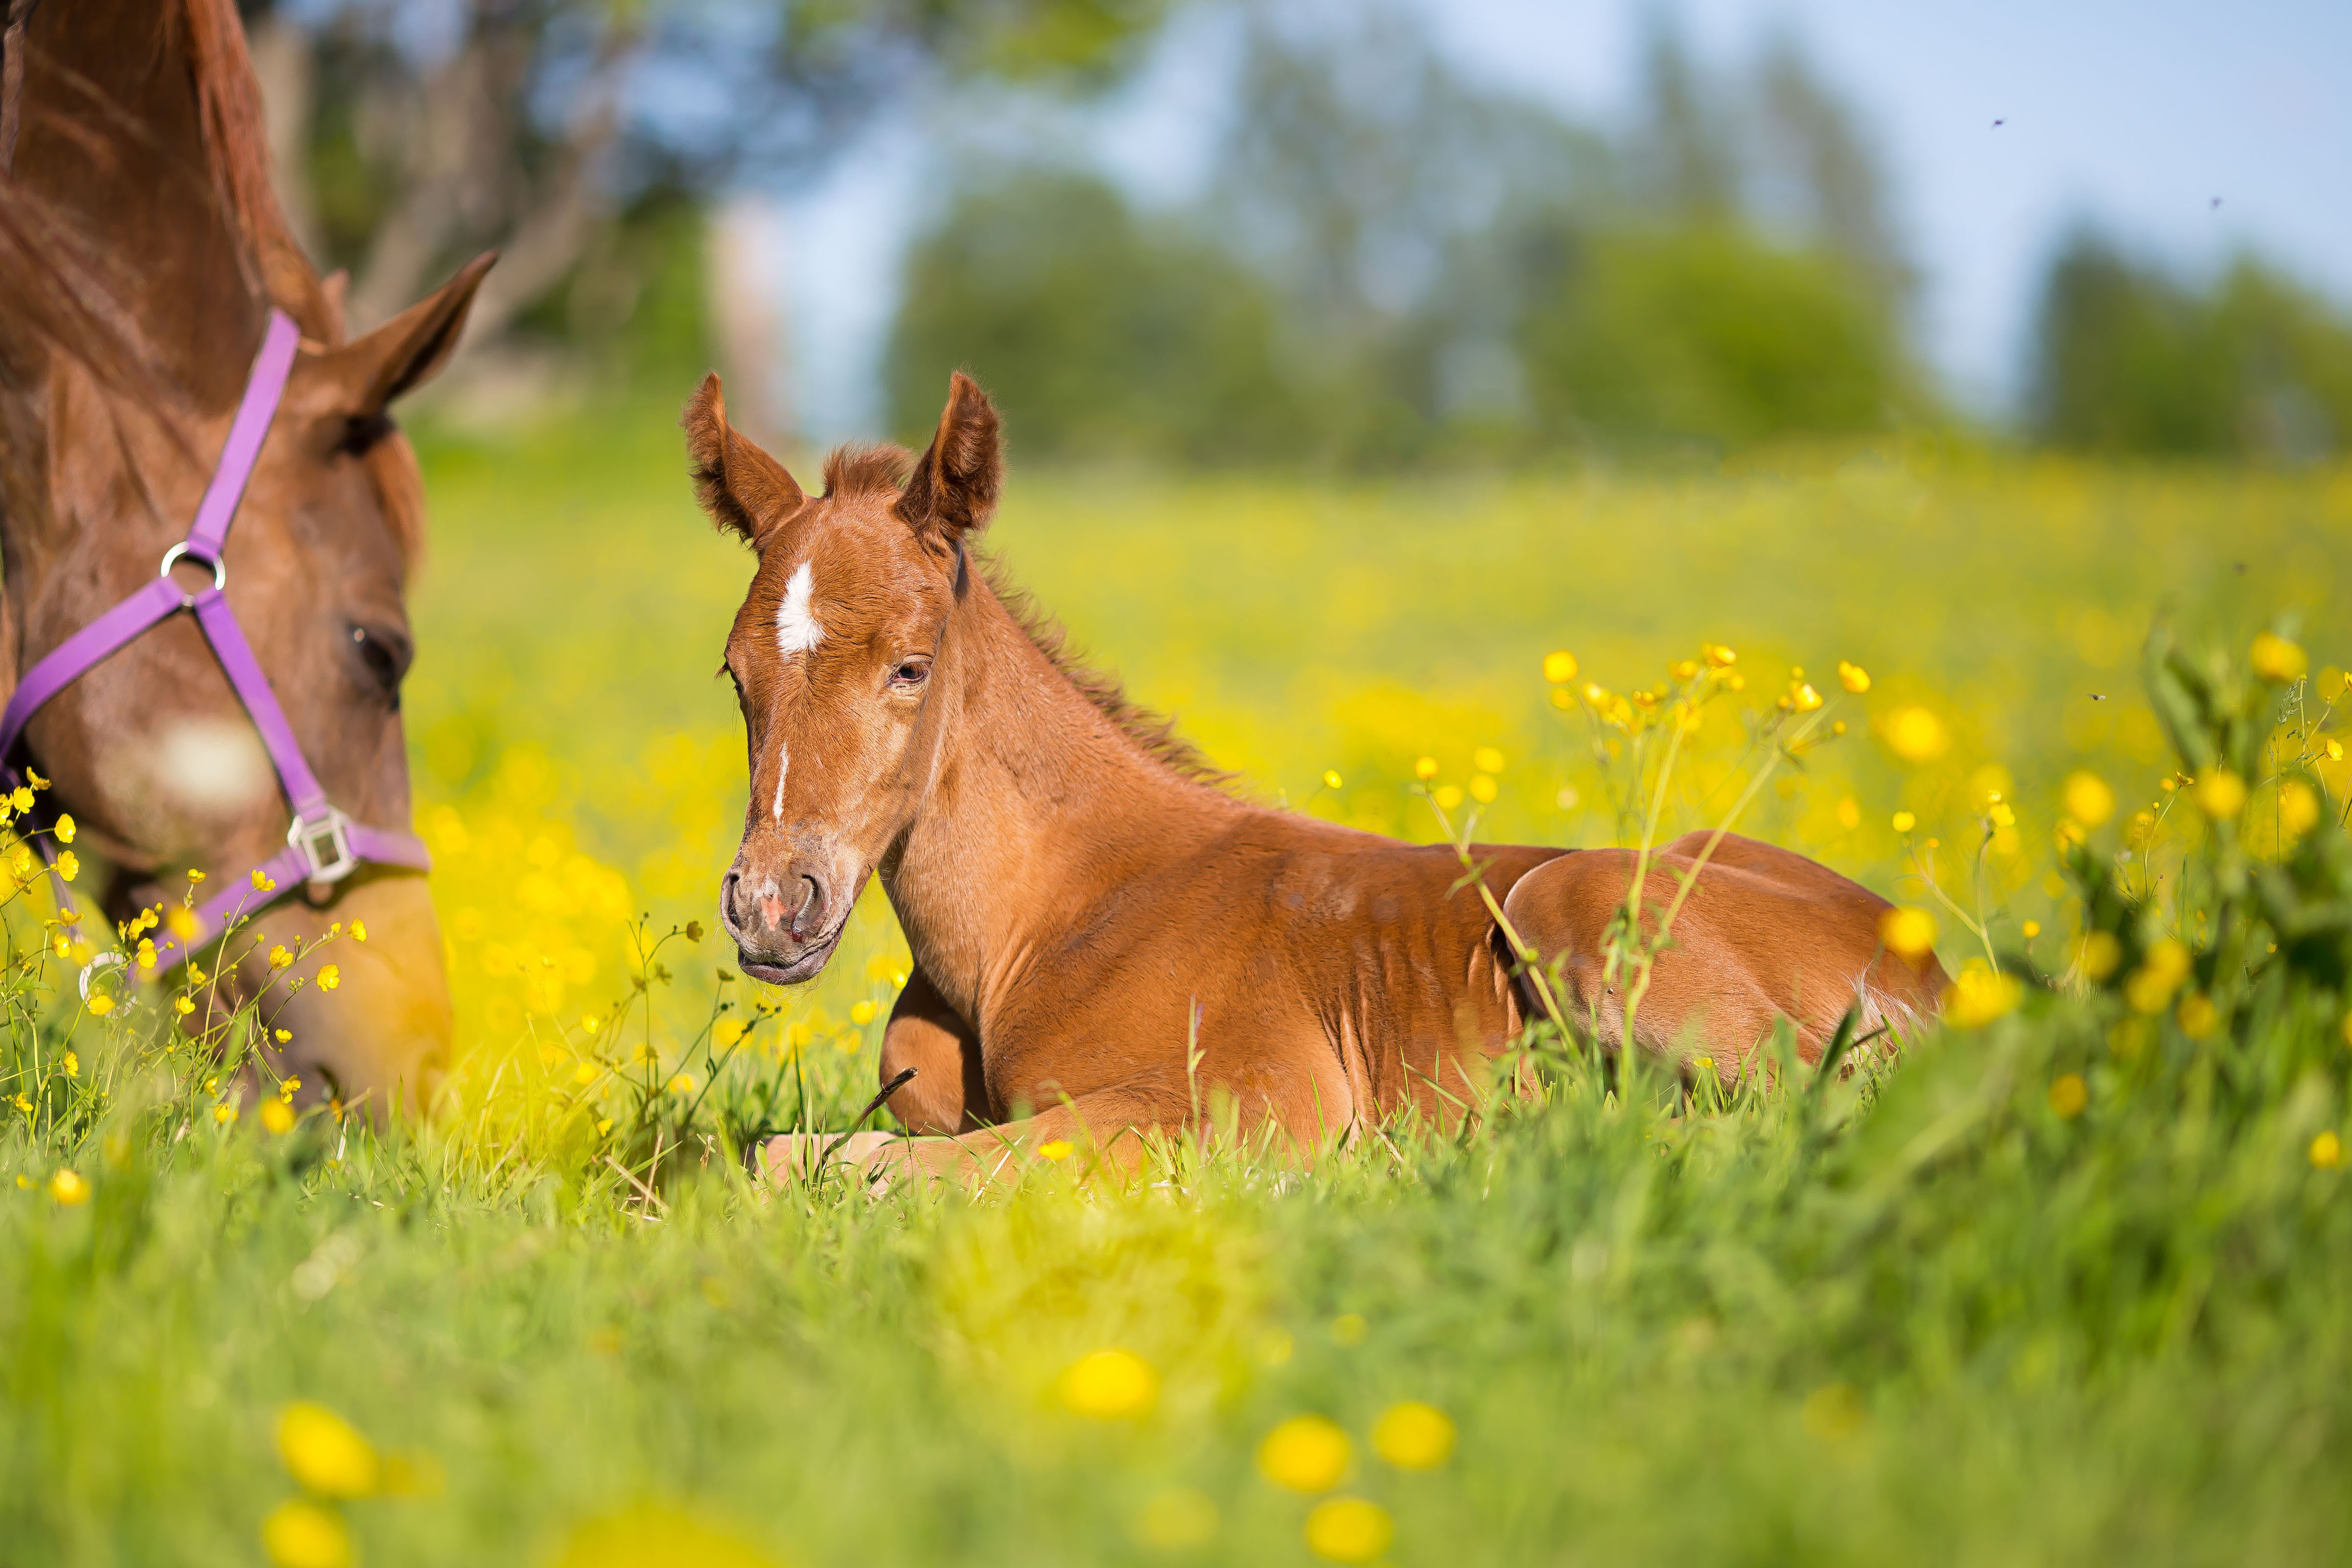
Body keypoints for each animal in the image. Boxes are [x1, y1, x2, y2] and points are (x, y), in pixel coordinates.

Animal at [682, 372, 1948, 1182]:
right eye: (735, 673)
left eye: (910, 664)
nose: (773, 903)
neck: (1039, 919)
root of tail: (1937, 967)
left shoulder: (1253, 1100)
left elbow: (842, 1165)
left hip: (1570, 901)